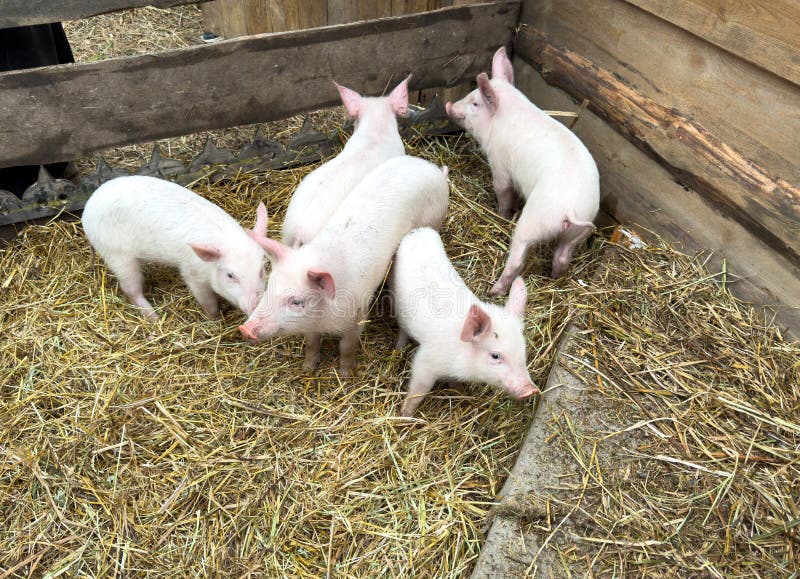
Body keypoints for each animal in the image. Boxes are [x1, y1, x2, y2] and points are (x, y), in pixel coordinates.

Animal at [82, 175, 267, 321]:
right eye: (230, 275)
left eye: (261, 271)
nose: (257, 305)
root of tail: (86, 211)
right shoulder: (192, 273)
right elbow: (206, 300)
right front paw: (216, 318)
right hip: (116, 254)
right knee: (130, 288)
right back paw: (155, 318)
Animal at [239, 156, 450, 376]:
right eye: (269, 287)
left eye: (296, 301)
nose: (245, 329)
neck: (325, 319)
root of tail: (431, 168)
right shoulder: (310, 324)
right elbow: (311, 342)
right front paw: (308, 368)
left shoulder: (357, 316)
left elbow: (346, 346)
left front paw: (346, 374)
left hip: (434, 218)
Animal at [391, 227, 538, 417]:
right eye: (495, 355)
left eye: (523, 350)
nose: (531, 389)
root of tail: (417, 231)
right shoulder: (427, 361)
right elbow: (418, 391)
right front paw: (405, 415)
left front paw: (458, 389)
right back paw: (398, 348)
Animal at [445, 46, 599, 296]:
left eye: (475, 103)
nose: (448, 105)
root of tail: (570, 209)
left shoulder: (499, 163)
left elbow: (503, 190)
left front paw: (502, 215)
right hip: (578, 232)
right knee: (562, 256)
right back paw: (555, 277)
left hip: (535, 221)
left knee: (517, 259)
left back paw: (494, 291)